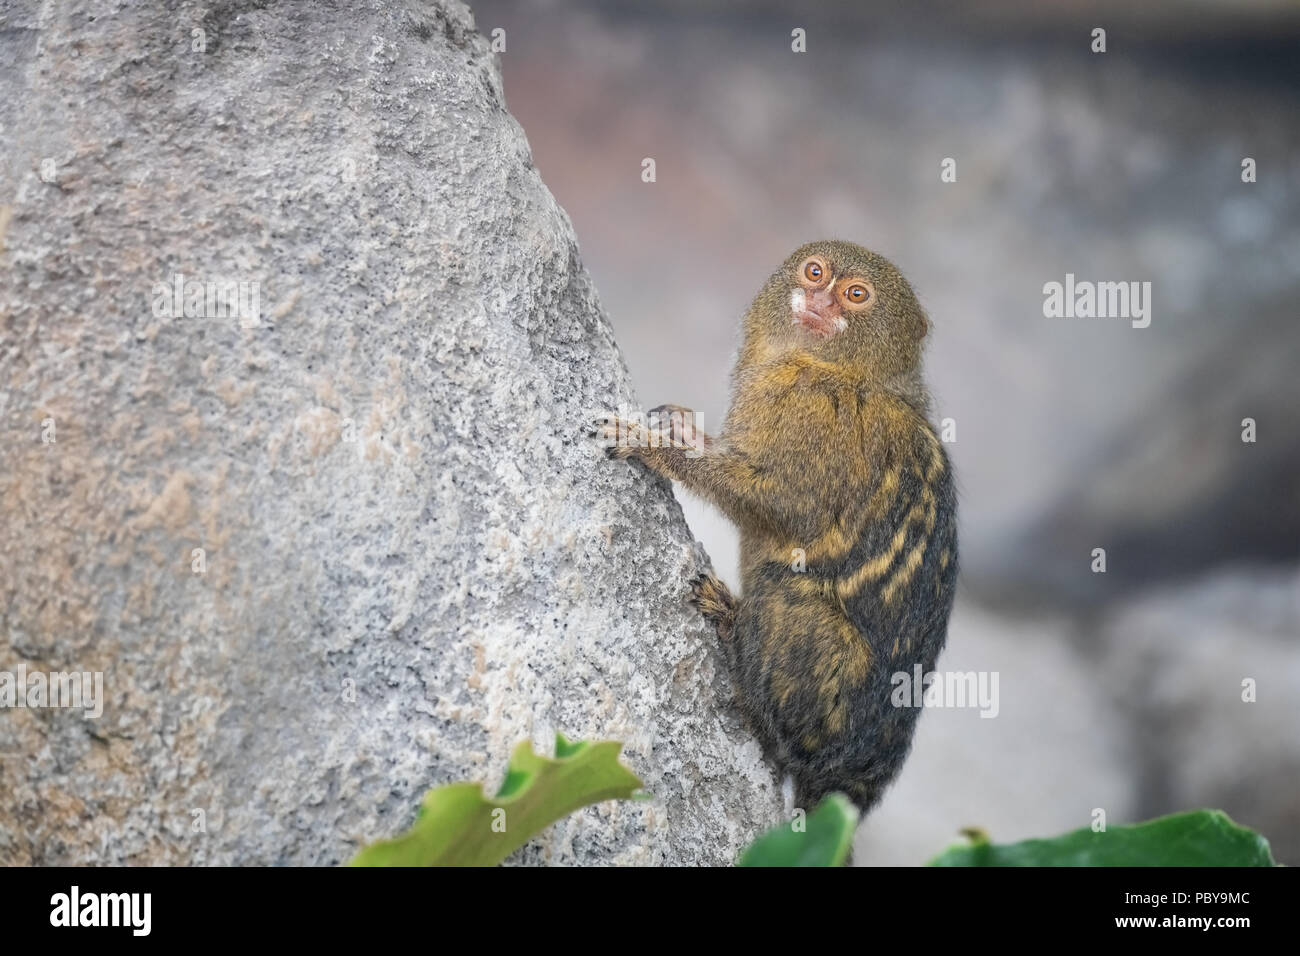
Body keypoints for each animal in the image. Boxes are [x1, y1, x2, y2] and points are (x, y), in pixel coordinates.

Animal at [597, 239, 957, 814]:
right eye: (815, 272)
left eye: (856, 295)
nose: (821, 302)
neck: (824, 364)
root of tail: (857, 773)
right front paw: (681, 429)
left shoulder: (817, 415)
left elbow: (786, 508)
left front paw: (655, 449)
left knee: (785, 588)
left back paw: (735, 642)